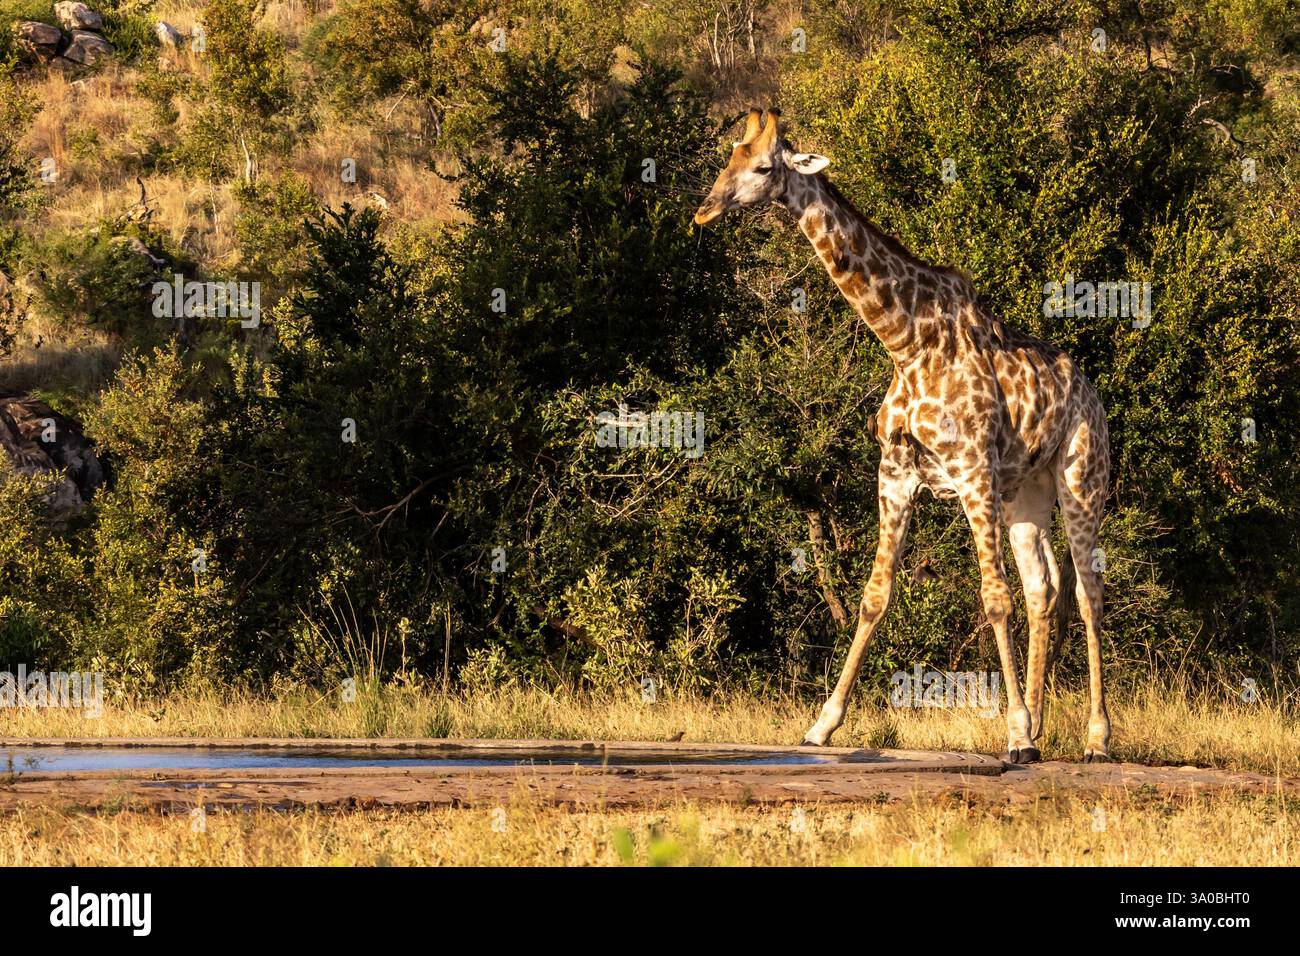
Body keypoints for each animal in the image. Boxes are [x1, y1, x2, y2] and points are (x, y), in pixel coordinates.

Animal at [695, 109, 1112, 762]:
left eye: (763, 167)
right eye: (727, 158)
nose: (704, 211)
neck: (906, 344)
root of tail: (1093, 394)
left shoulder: (972, 473)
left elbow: (993, 599)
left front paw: (1015, 735)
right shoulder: (896, 474)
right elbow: (874, 594)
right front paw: (822, 724)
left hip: (1080, 480)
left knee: (1090, 594)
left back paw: (1095, 738)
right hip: (1026, 493)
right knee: (1043, 589)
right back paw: (1044, 724)